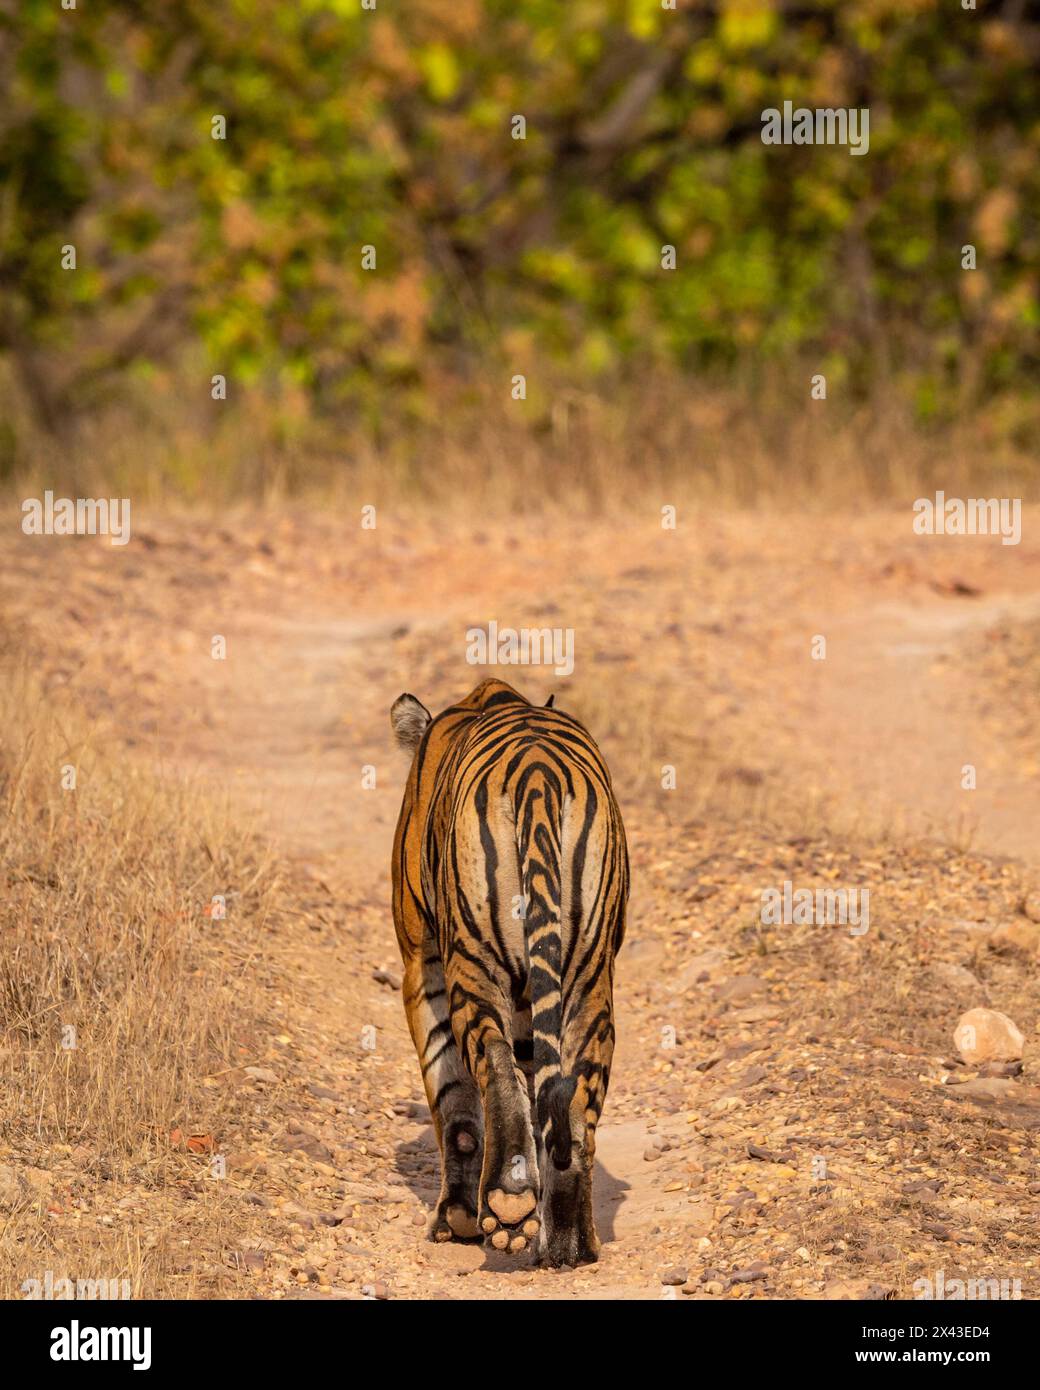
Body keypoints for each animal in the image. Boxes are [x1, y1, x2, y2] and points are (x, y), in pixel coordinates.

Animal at [390, 677, 629, 1267]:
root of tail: (537, 773)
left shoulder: (420, 965)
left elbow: (451, 1094)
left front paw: (454, 1217)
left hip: (472, 960)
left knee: (491, 1064)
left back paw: (507, 1205)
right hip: (590, 976)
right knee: (575, 1100)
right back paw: (569, 1244)